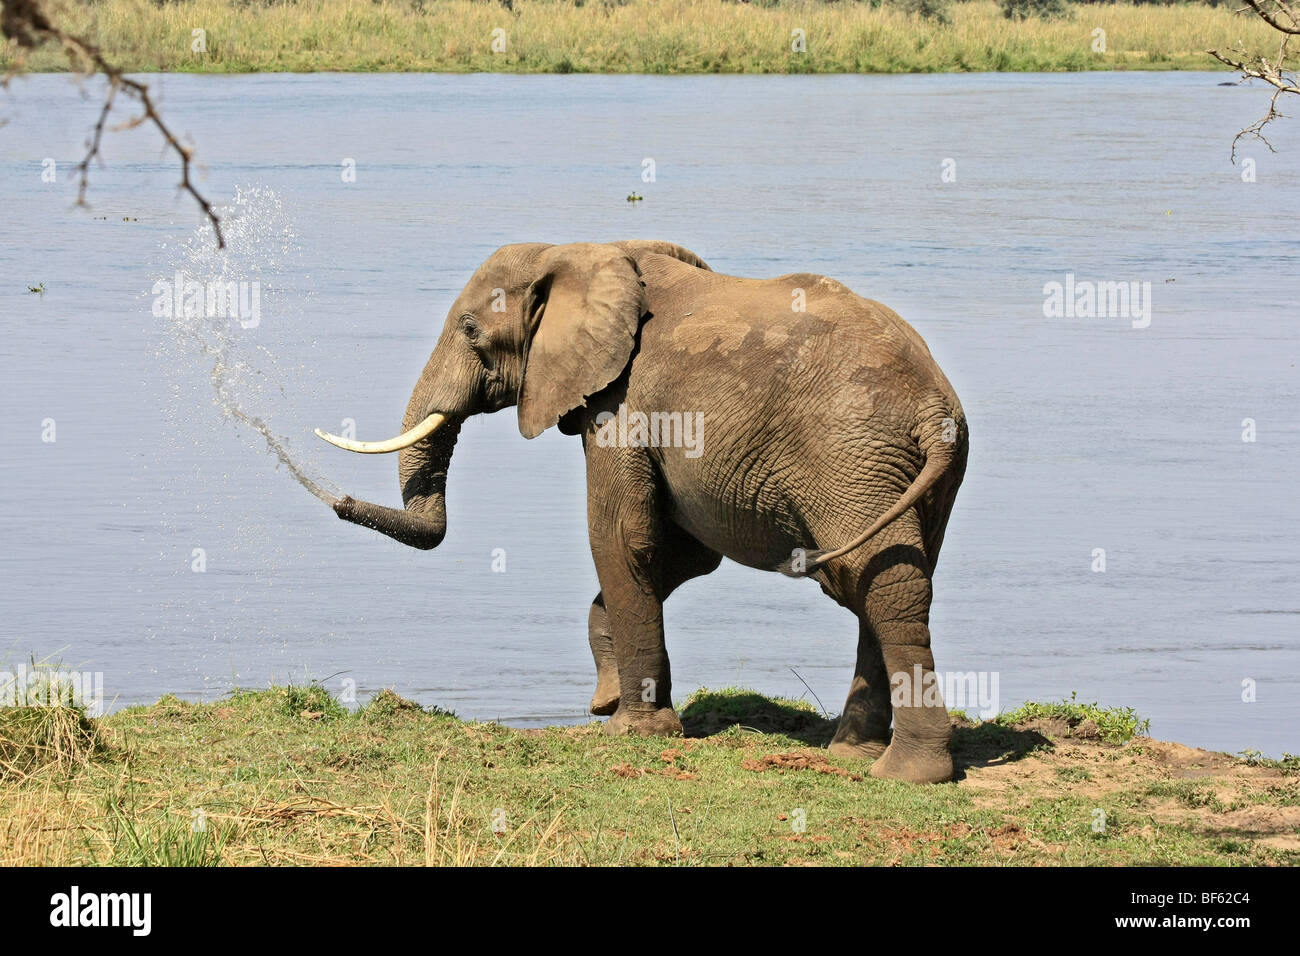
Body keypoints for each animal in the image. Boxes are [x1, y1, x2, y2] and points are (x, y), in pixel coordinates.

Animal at [316, 239, 968, 784]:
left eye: (472, 330)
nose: (337, 500)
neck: (579, 251)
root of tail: (933, 407)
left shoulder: (620, 404)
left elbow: (622, 537)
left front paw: (632, 730)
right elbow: (682, 553)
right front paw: (608, 700)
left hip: (849, 458)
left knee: (881, 584)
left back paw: (908, 775)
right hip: (907, 475)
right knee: (893, 579)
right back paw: (855, 755)